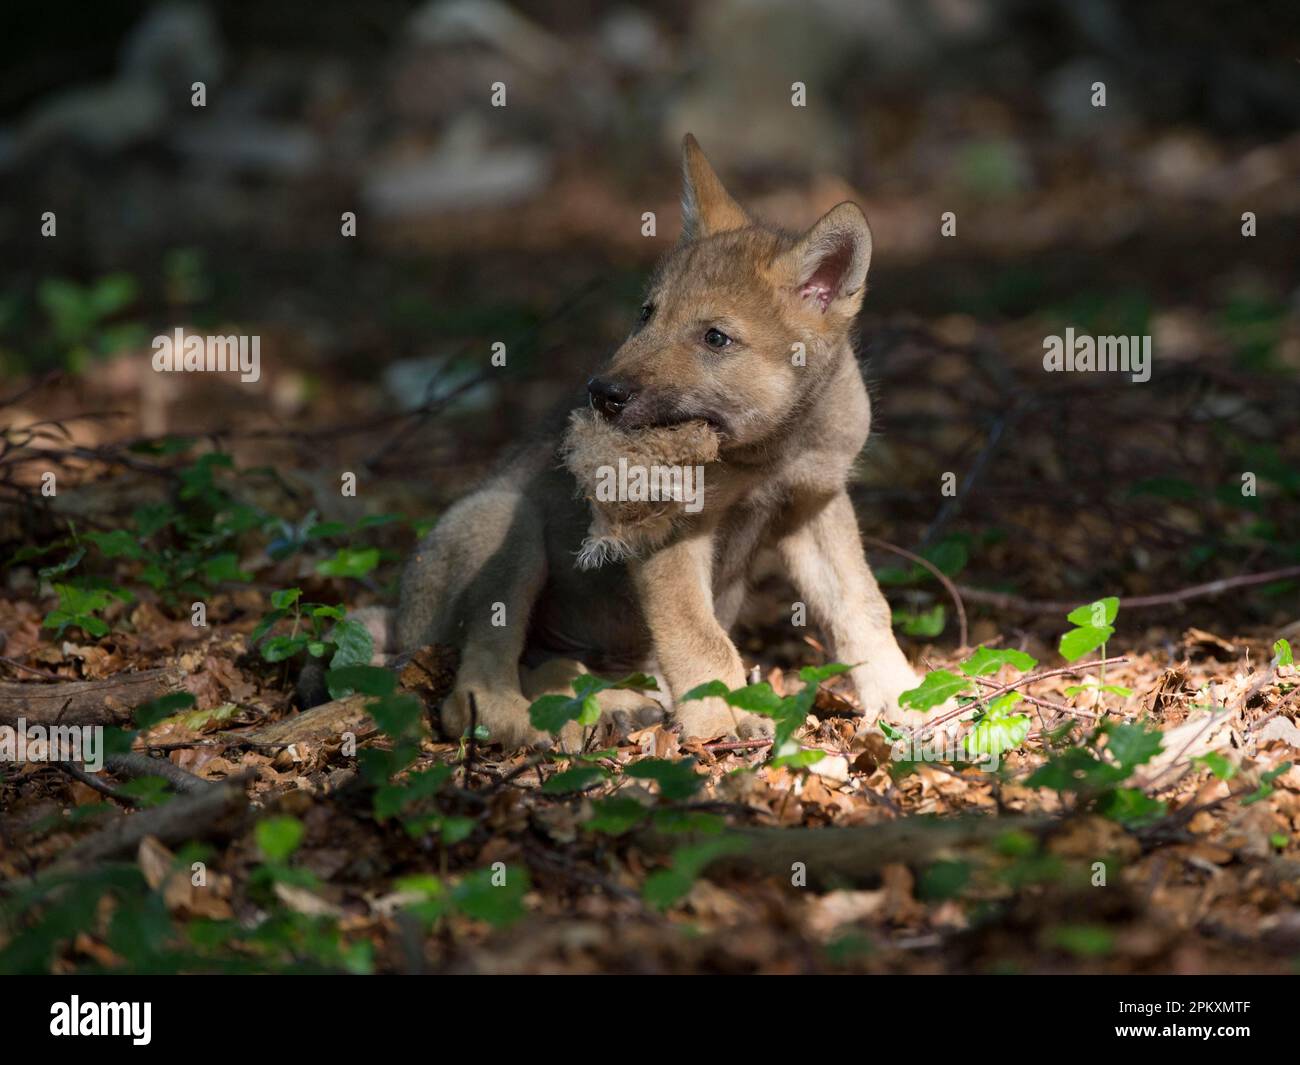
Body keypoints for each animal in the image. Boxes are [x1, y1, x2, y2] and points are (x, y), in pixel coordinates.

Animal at [391, 135, 922, 747]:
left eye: (715, 338)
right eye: (647, 314)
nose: (601, 393)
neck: (766, 454)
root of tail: (393, 631)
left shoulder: (815, 505)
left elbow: (863, 609)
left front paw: (906, 699)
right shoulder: (671, 532)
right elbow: (702, 641)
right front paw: (720, 723)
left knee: (549, 667)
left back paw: (621, 705)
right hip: (507, 524)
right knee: (476, 685)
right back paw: (527, 722)